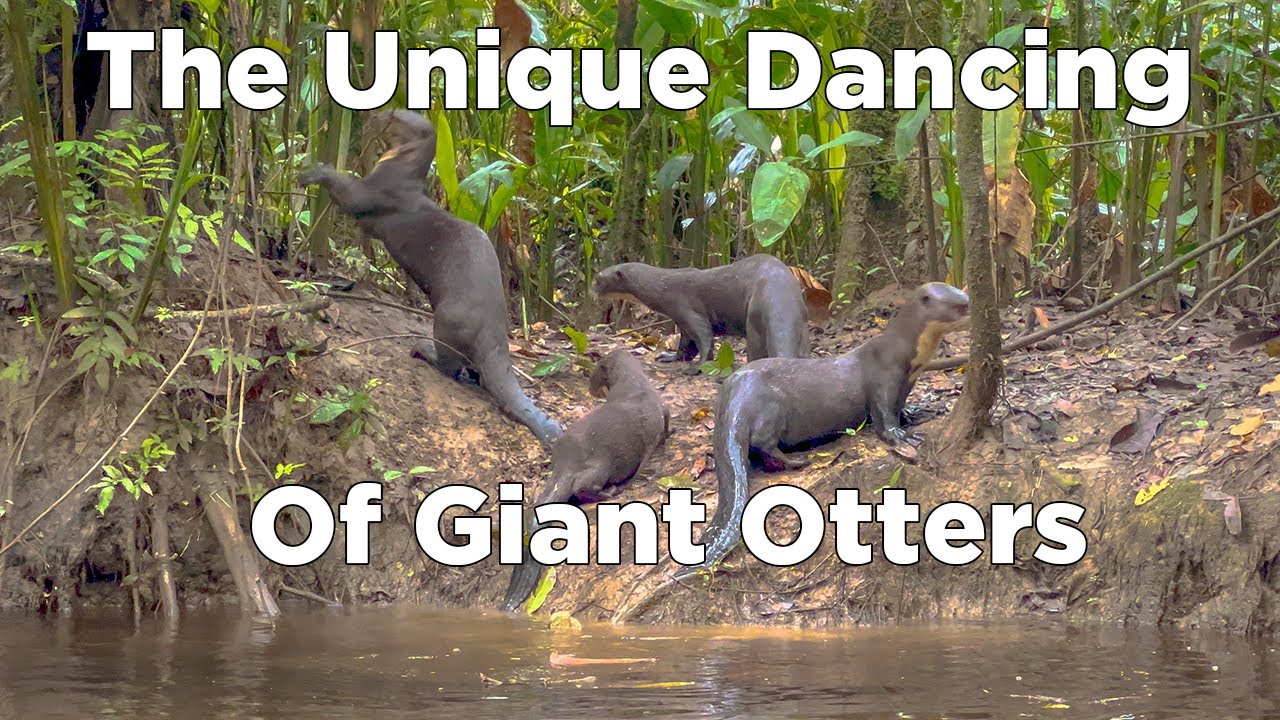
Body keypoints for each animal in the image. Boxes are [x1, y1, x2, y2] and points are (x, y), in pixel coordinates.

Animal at [298, 109, 563, 446]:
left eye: (392, 115)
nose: (373, 116)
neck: (400, 166)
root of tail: (494, 330)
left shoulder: (376, 192)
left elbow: (349, 194)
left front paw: (314, 171)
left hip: (447, 319)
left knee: (451, 367)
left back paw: (423, 349)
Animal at [500, 349, 669, 611]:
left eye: (594, 374)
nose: (590, 388)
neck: (635, 386)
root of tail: (566, 460)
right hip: (603, 462)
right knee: (583, 486)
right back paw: (610, 491)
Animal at [592, 254, 810, 373]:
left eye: (598, 279)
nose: (591, 288)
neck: (663, 287)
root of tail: (777, 294)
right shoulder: (680, 320)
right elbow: (685, 346)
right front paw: (669, 357)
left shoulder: (685, 308)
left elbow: (704, 338)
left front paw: (699, 366)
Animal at [674, 282, 971, 578]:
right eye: (959, 306)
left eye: (966, 299)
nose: (971, 308)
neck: (907, 357)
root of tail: (733, 392)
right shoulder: (883, 382)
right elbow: (884, 418)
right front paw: (904, 436)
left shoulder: (904, 385)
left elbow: (900, 408)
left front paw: (916, 412)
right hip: (772, 407)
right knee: (761, 441)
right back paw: (796, 462)